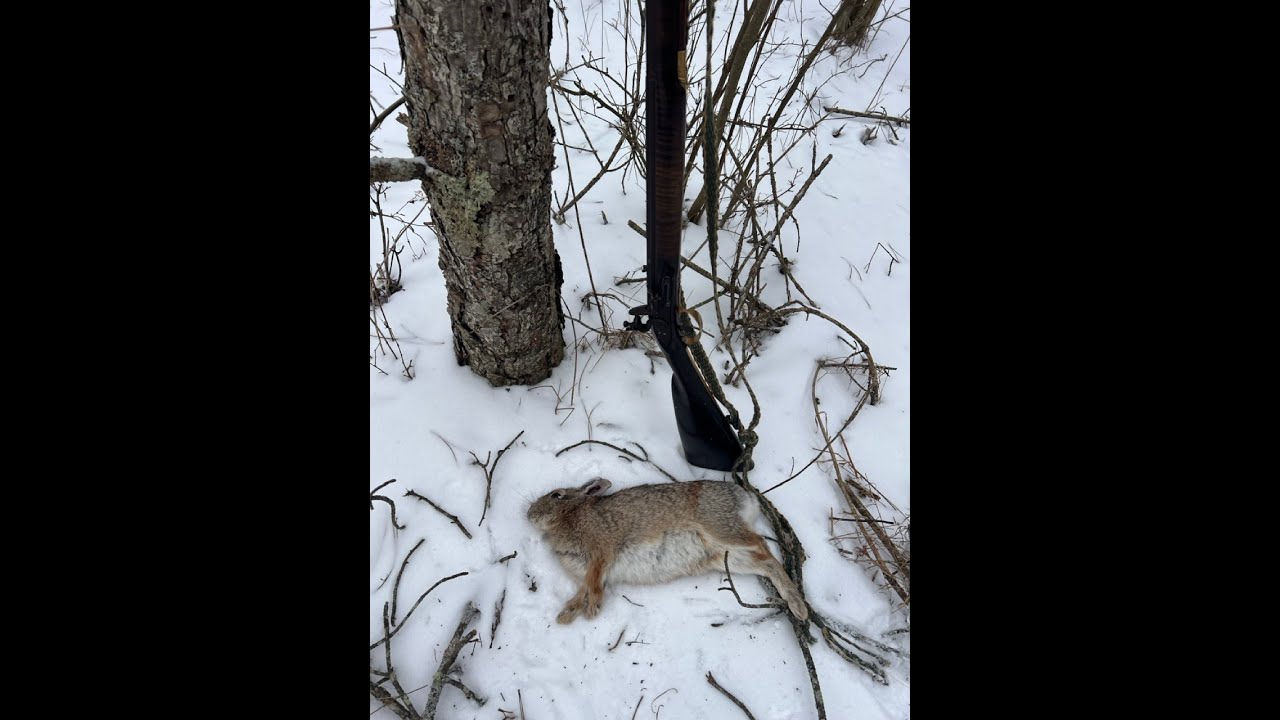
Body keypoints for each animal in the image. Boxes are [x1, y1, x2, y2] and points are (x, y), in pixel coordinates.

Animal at [527, 477, 809, 624]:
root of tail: (745, 497)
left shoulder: (601, 549)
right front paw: (567, 614)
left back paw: (799, 606)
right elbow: (583, 588)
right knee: (765, 563)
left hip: (721, 528)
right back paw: (797, 606)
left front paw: (592, 609)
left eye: (556, 495)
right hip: (724, 557)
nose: (528, 513)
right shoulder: (589, 571)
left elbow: (594, 582)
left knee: (763, 544)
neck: (571, 516)